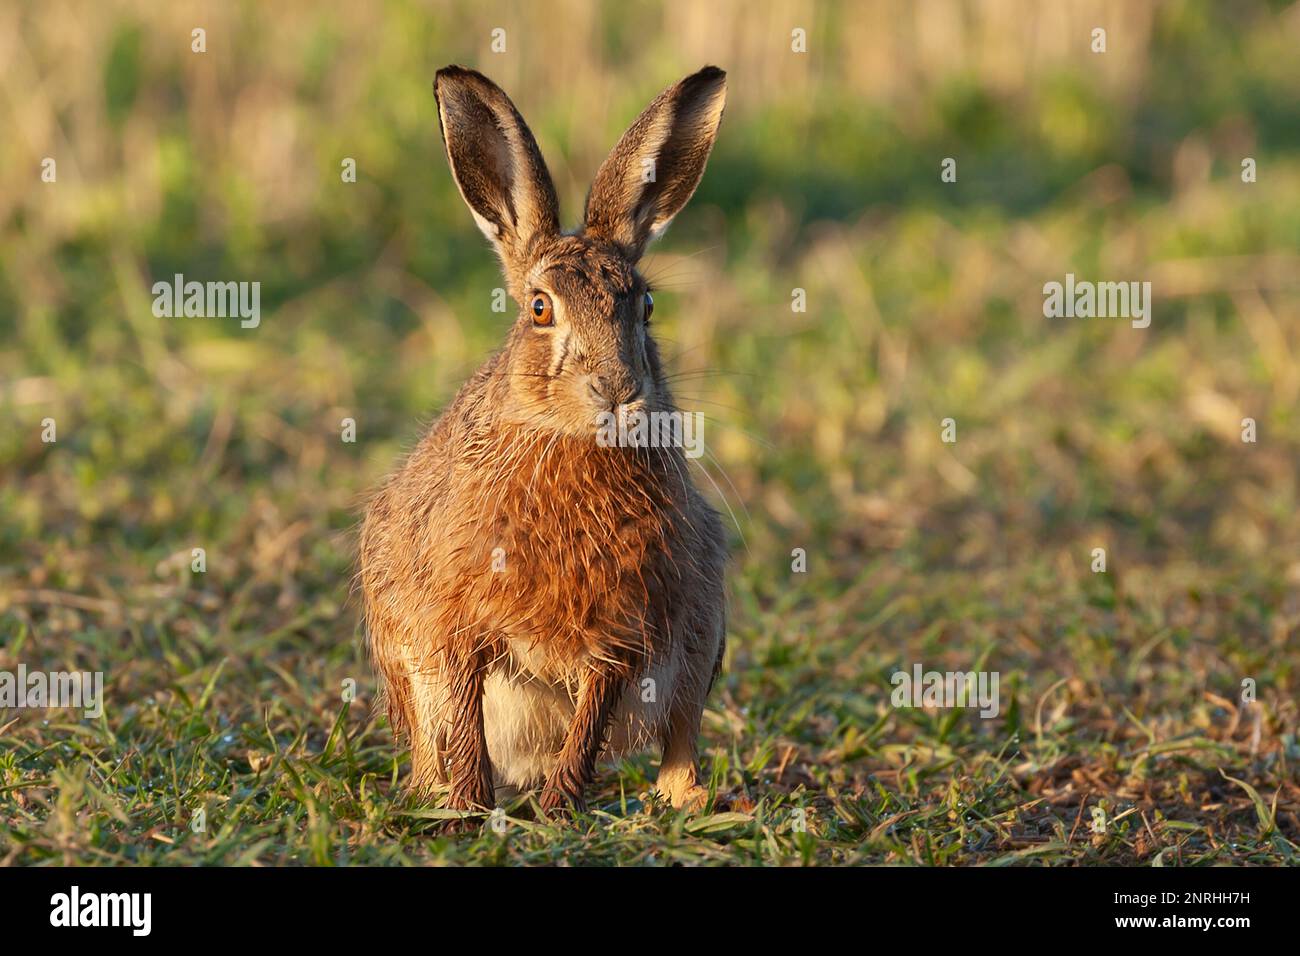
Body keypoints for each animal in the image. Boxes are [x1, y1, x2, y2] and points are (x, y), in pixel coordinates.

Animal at [359, 64, 729, 817]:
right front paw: (470, 809)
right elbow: (464, 716)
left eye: (647, 308)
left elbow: (590, 720)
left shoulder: (623, 629)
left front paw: (558, 806)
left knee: (678, 743)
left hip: (704, 627)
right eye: (539, 309)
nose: (617, 390)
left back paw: (692, 801)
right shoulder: (453, 621)